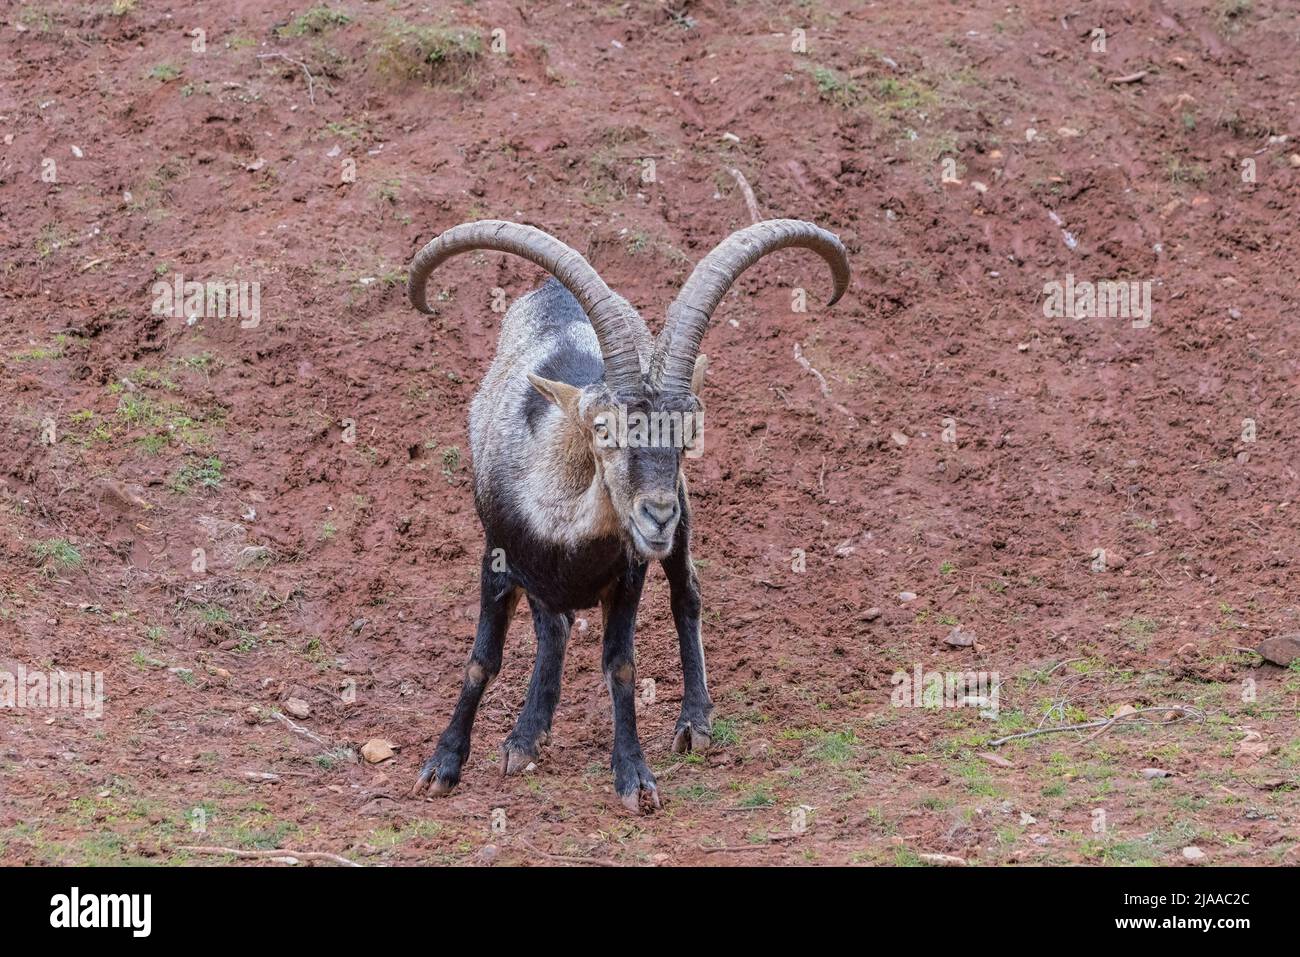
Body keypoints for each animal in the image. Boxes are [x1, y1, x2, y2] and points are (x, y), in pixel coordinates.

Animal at [407, 219, 850, 812]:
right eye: (603, 429)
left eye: (689, 430)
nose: (657, 516)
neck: (560, 510)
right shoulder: (497, 558)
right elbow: (483, 658)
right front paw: (443, 764)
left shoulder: (628, 573)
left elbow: (621, 663)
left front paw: (634, 776)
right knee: (555, 625)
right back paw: (527, 736)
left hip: (680, 526)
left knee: (685, 593)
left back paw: (693, 721)